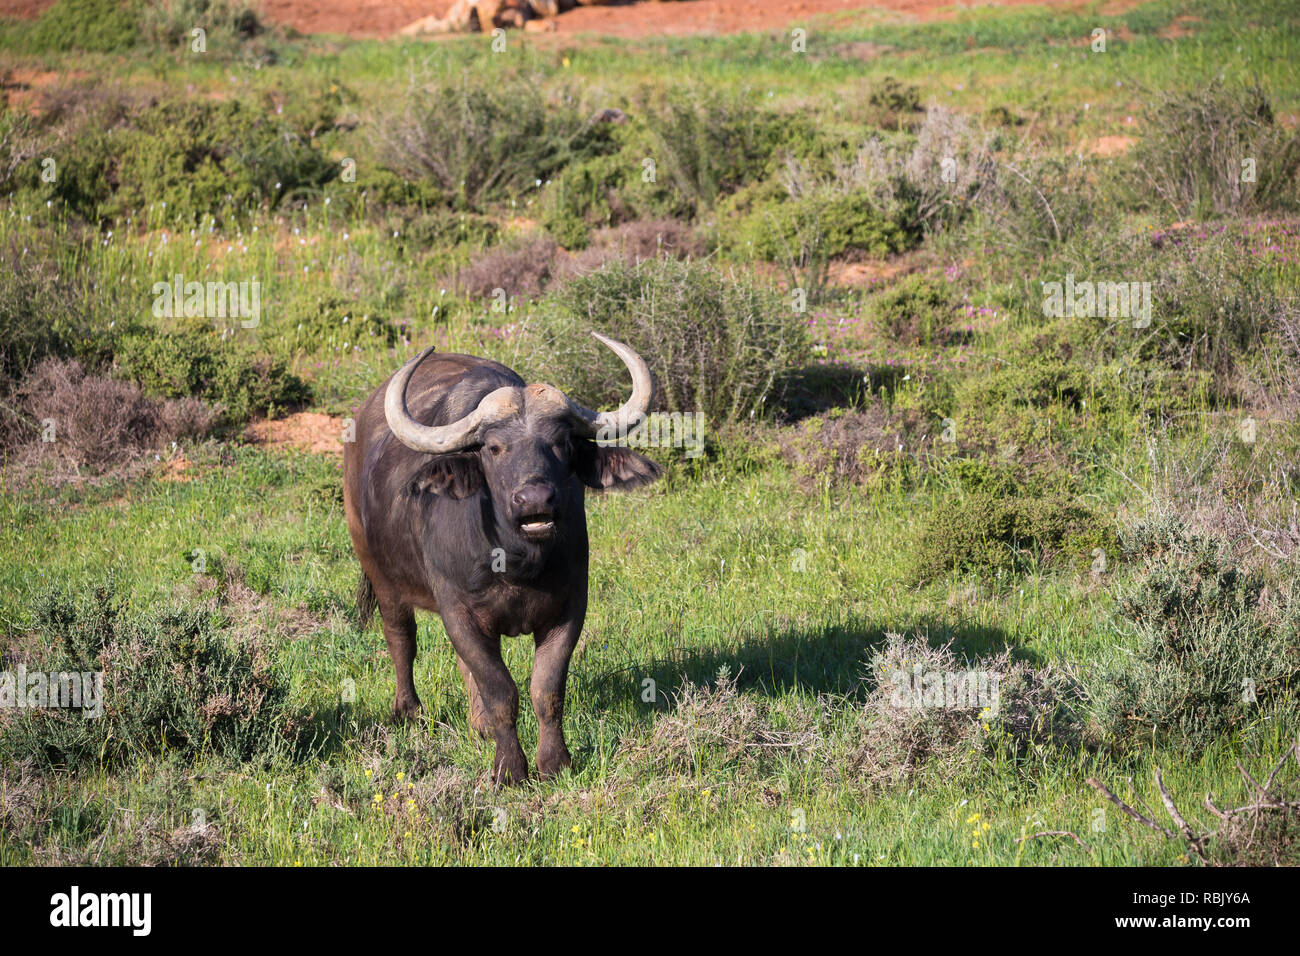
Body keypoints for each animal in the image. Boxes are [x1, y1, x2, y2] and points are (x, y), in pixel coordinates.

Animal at [343, 333, 662, 784]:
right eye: (494, 448)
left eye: (561, 443)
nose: (535, 500)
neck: (516, 564)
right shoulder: (458, 610)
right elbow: (500, 691)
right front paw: (509, 769)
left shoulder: (569, 609)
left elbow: (546, 689)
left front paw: (554, 763)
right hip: (380, 573)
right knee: (401, 638)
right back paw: (409, 710)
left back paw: (478, 727)